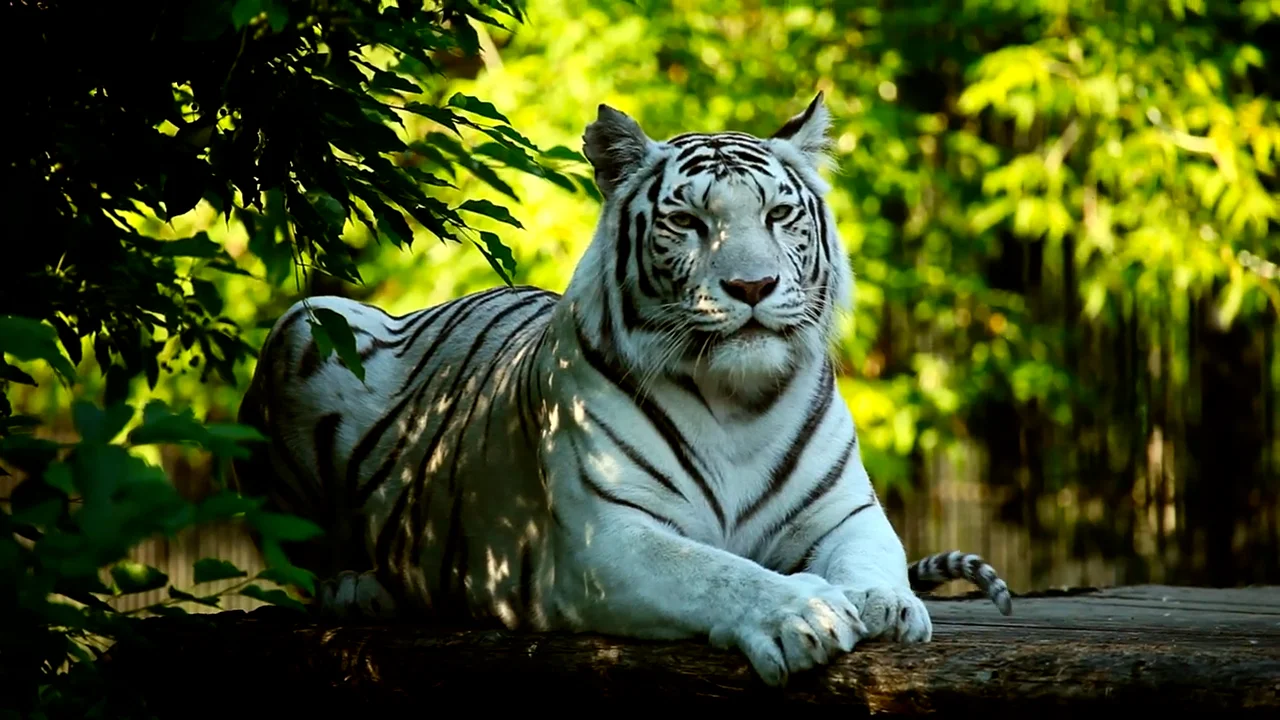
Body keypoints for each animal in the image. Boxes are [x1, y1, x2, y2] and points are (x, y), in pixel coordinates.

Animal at [231, 92, 1013, 688]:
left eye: (777, 215)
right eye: (689, 222)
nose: (753, 286)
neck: (741, 404)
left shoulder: (843, 514)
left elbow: (873, 559)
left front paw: (884, 603)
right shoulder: (605, 539)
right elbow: (714, 572)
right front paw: (805, 612)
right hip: (309, 324)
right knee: (302, 561)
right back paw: (359, 588)